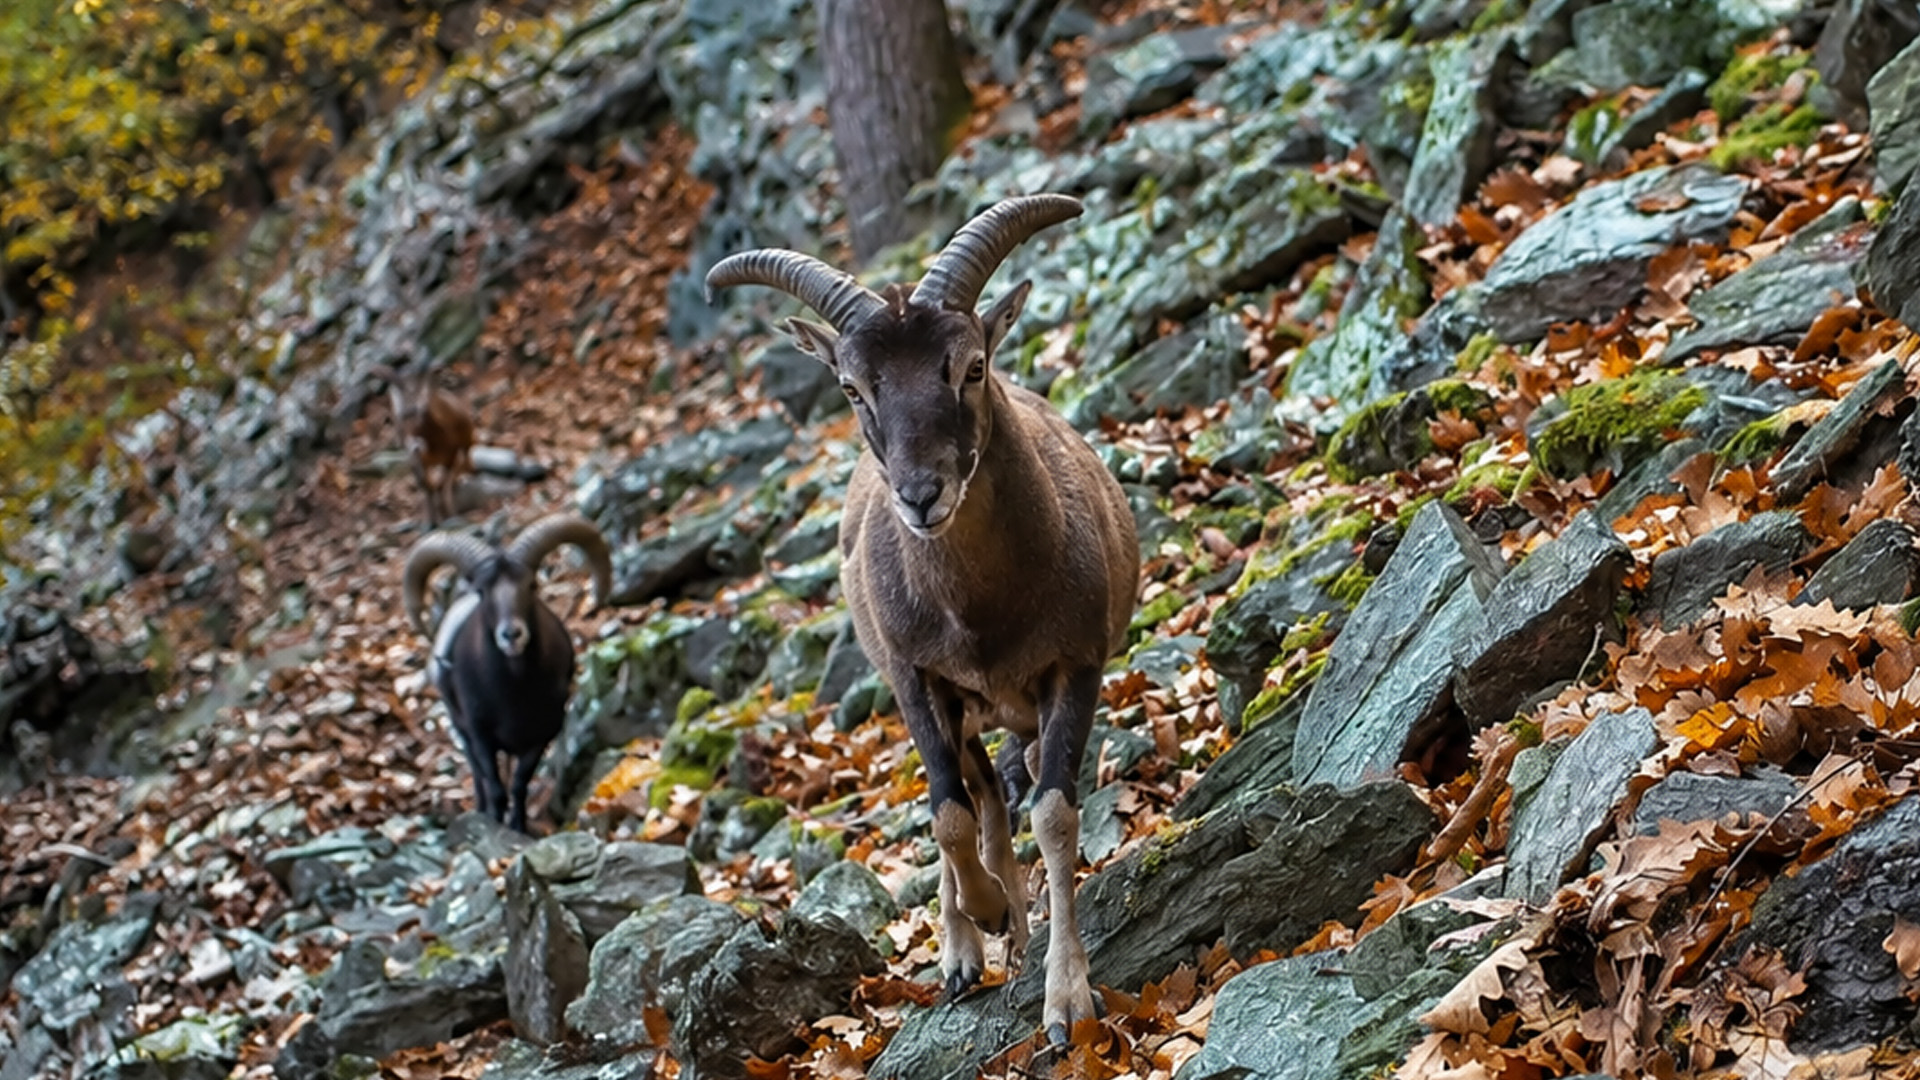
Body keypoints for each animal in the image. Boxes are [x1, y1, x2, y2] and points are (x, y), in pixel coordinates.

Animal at [372, 363, 475, 524]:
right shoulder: (420, 463)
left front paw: (450, 515)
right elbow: (429, 487)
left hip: (466, 439)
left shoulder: (451, 456)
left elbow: (441, 487)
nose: (415, 445)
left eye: (421, 409)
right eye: (401, 417)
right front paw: (434, 520)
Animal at [402, 513, 612, 832]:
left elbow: (518, 785)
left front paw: (518, 828)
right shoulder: (481, 737)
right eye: (481, 591)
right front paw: (494, 823)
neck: (514, 695)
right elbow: (496, 788)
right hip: (462, 731)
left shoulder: (538, 739)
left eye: (532, 585)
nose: (512, 635)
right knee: (478, 776)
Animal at [707, 194, 1139, 1043]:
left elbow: (1054, 815)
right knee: (973, 795)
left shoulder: (1073, 666)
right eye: (851, 387)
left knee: (1004, 790)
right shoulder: (916, 679)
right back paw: (970, 947)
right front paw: (981, 915)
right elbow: (947, 816)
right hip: (950, 706)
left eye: (970, 365)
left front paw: (1066, 1002)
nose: (920, 495)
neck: (982, 614)